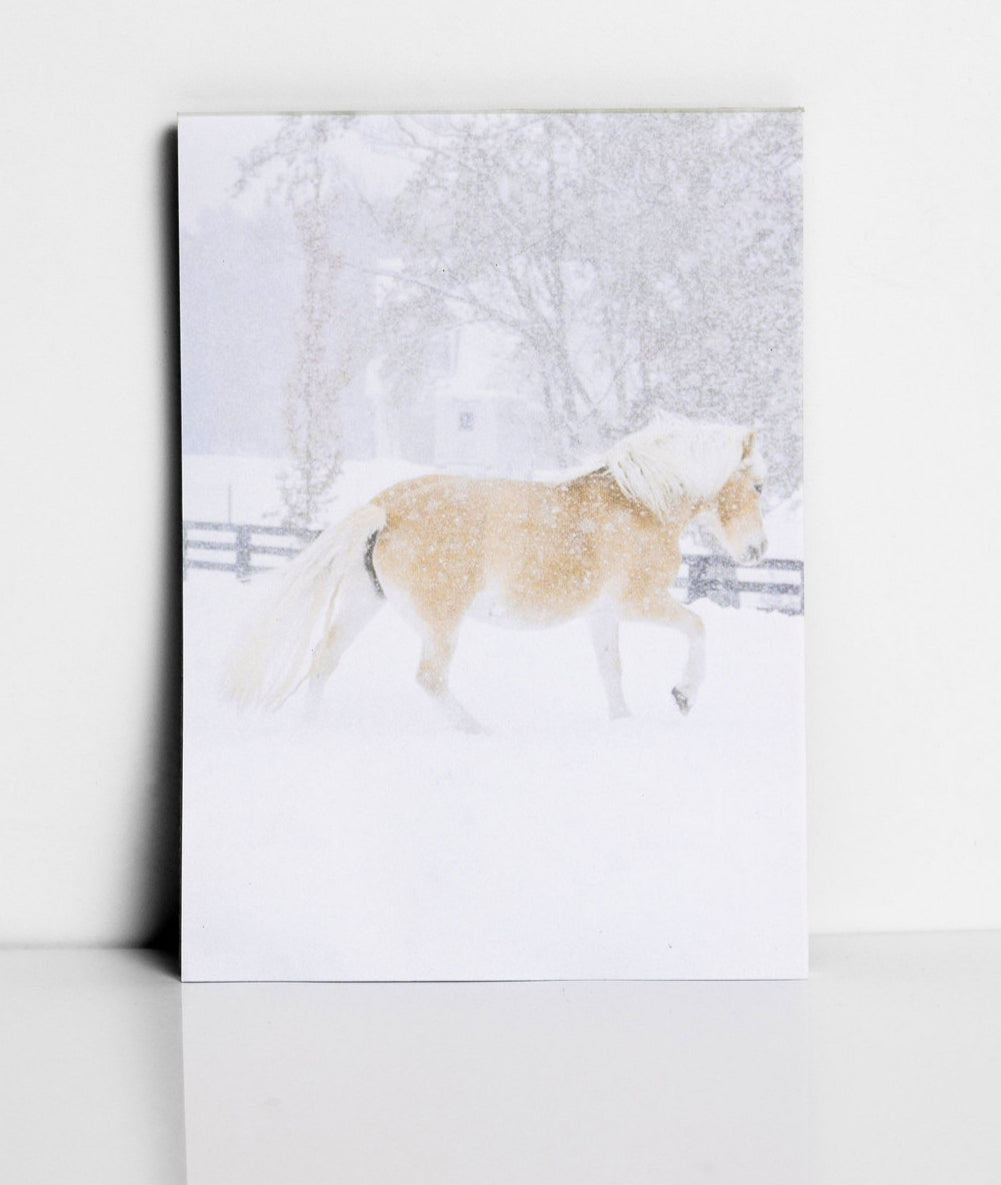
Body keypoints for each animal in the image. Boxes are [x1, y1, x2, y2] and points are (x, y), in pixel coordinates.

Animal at [227, 416, 767, 730]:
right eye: (760, 486)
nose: (760, 550)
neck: (639, 504)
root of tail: (383, 508)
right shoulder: (640, 601)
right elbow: (698, 627)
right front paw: (683, 695)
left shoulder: (603, 613)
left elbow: (611, 670)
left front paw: (623, 724)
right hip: (442, 619)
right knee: (429, 677)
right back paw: (479, 730)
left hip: (365, 601)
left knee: (324, 659)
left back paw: (310, 728)